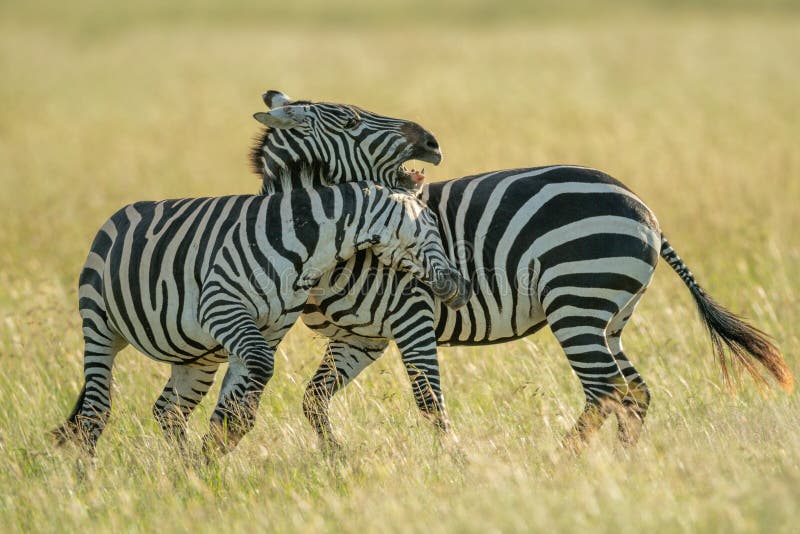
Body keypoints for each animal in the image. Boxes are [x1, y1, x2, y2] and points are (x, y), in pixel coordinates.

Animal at [51, 182, 471, 455]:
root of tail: (119, 214)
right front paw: (230, 432)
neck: (305, 246)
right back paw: (85, 487)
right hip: (99, 328)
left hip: (194, 357)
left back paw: (185, 473)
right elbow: (260, 368)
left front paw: (222, 437)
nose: (462, 287)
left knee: (168, 412)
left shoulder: (269, 327)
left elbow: (247, 380)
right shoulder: (221, 306)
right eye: (432, 227)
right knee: (93, 415)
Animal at [249, 91, 794, 454]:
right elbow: (313, 401)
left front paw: (451, 464)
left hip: (576, 300)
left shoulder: (411, 315)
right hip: (610, 316)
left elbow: (429, 402)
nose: (432, 140)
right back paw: (623, 466)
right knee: (633, 392)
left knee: (606, 391)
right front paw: (335, 459)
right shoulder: (359, 338)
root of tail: (644, 208)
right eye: (349, 118)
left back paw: (562, 462)